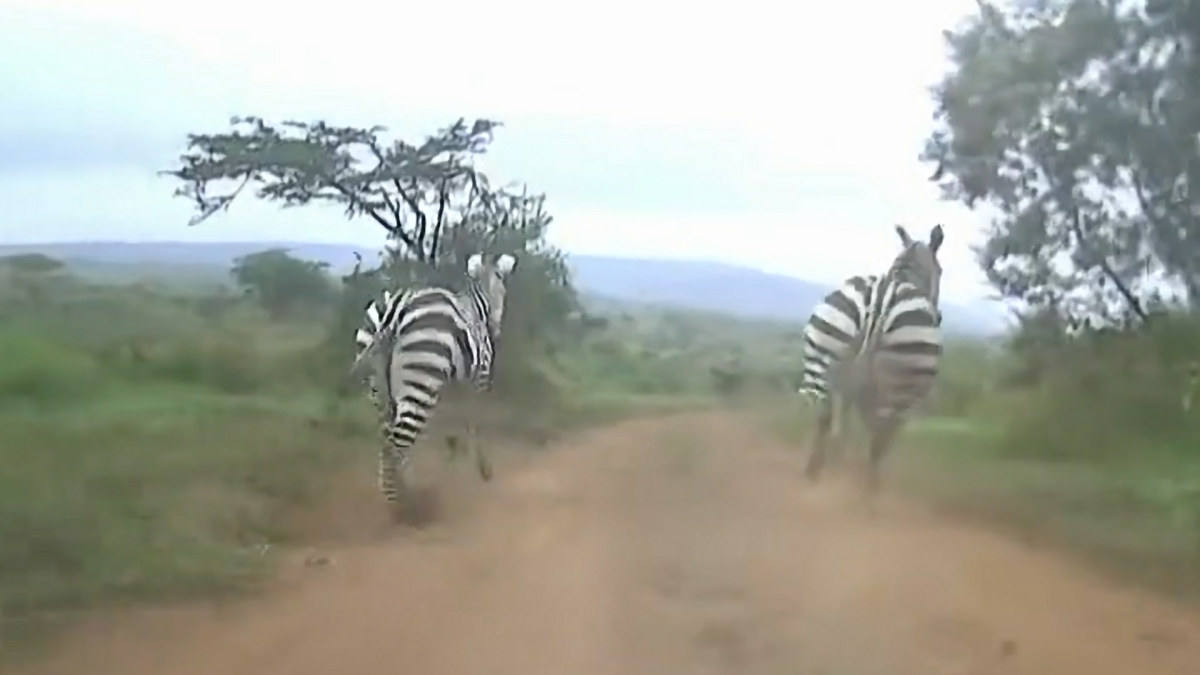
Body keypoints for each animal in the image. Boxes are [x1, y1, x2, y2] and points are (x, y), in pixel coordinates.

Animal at [350, 252, 518, 519]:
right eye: (502, 285)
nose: (496, 328)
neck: (476, 307)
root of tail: (394, 310)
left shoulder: (449, 386)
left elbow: (446, 425)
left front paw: (450, 456)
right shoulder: (478, 379)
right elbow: (475, 421)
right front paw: (482, 468)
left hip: (382, 389)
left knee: (387, 438)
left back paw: (394, 493)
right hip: (420, 378)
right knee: (399, 443)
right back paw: (409, 505)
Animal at [797, 224, 944, 496]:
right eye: (940, 270)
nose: (938, 316)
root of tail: (880, 301)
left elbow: (843, 428)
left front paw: (837, 465)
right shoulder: (903, 407)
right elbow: (880, 443)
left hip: (821, 364)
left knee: (823, 415)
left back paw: (814, 471)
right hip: (894, 389)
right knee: (878, 439)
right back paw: (868, 495)